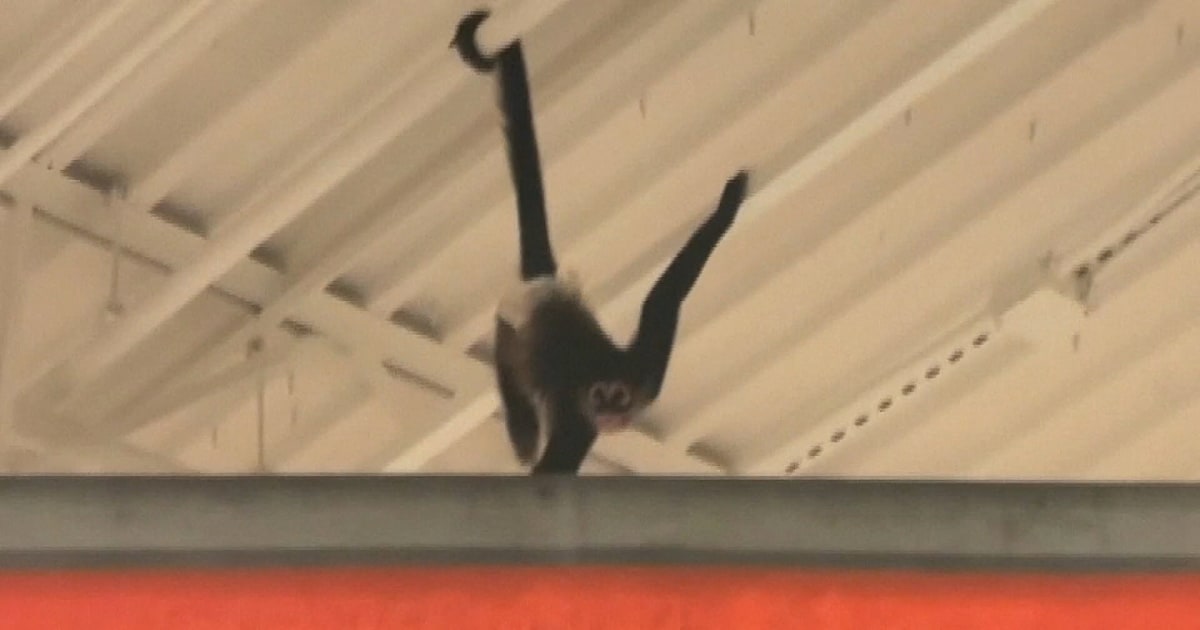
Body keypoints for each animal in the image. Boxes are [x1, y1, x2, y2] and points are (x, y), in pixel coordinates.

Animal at [453, 10, 750, 474]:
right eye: (599, 398)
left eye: (620, 397)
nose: (609, 413)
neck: (598, 369)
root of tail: (545, 282)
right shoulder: (578, 415)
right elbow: (550, 471)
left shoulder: (645, 371)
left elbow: (661, 301)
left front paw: (727, 205)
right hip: (508, 331)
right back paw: (522, 431)